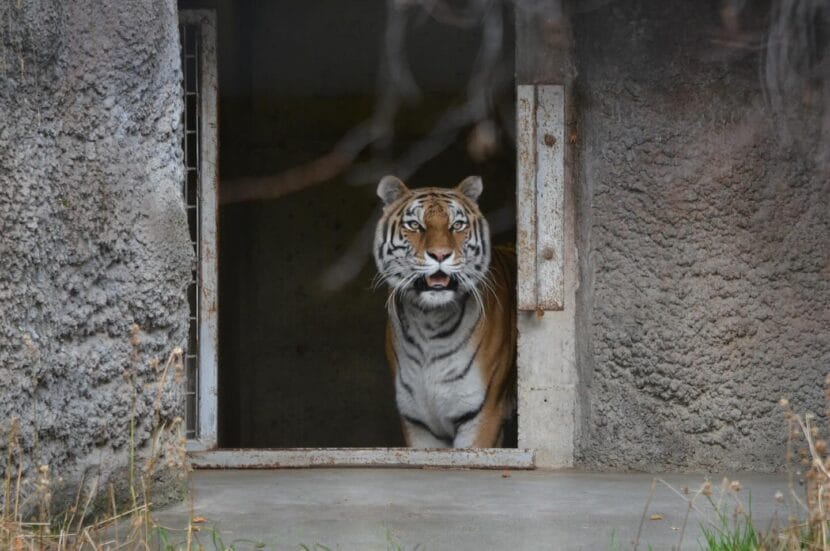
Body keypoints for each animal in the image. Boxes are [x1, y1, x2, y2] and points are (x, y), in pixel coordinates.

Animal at [373, 174, 517, 448]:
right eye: (415, 225)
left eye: (457, 225)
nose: (440, 255)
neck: (429, 321)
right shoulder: (417, 422)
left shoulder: (483, 413)